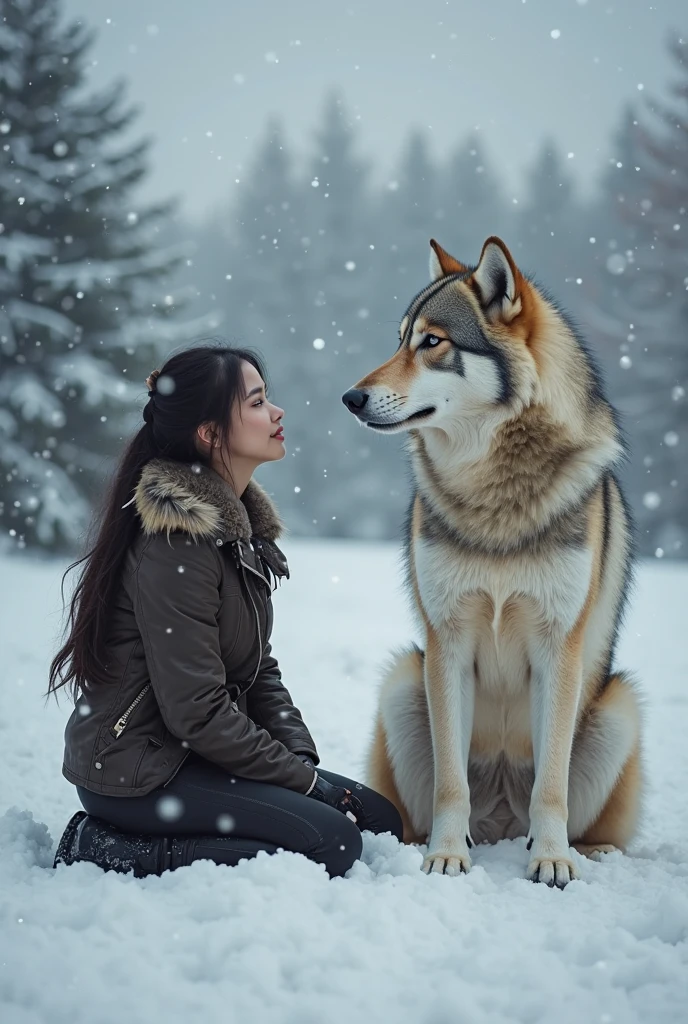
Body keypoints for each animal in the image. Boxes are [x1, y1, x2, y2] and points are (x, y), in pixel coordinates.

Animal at [342, 236, 644, 887]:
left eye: (433, 342)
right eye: (398, 339)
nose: (350, 398)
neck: (494, 497)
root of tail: (501, 819)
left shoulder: (559, 647)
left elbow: (550, 787)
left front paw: (551, 860)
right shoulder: (447, 641)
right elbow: (451, 785)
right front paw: (446, 856)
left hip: (619, 709)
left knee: (588, 823)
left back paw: (584, 852)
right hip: (403, 682)